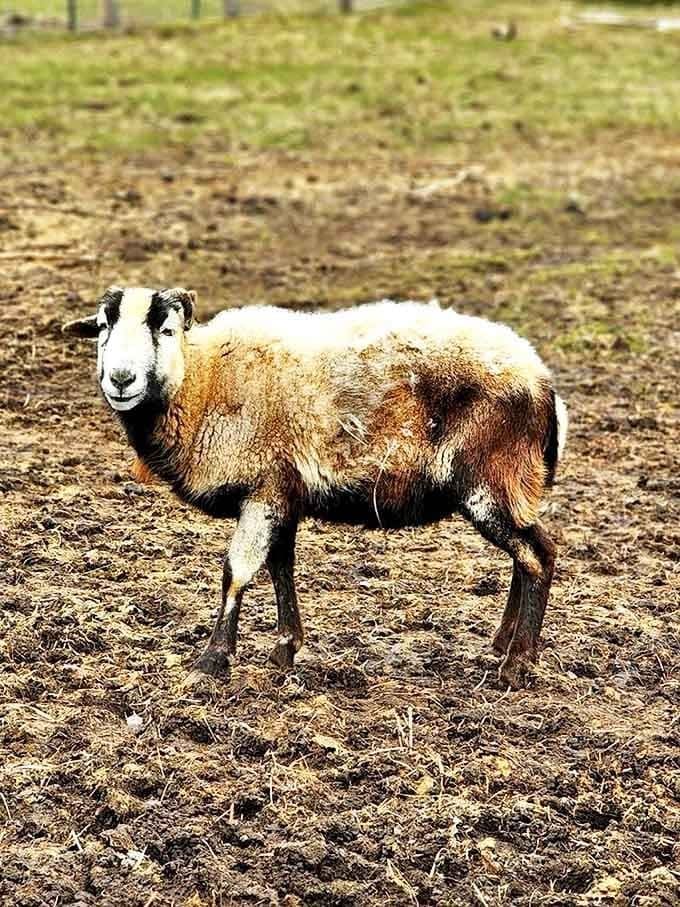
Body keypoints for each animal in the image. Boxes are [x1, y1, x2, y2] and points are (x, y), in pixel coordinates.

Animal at [63, 286, 568, 689]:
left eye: (166, 330)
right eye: (103, 327)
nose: (121, 379)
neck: (202, 383)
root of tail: (544, 385)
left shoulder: (264, 488)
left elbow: (237, 571)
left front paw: (211, 662)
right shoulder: (282, 494)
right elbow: (279, 567)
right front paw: (285, 650)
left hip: (492, 479)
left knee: (537, 554)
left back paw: (517, 665)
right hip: (505, 485)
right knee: (528, 555)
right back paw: (503, 644)